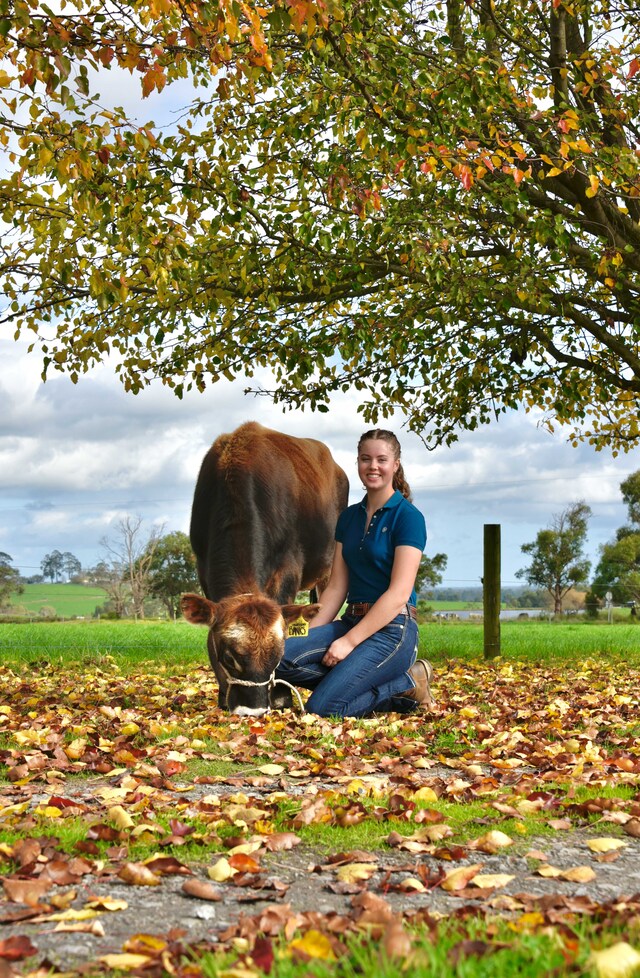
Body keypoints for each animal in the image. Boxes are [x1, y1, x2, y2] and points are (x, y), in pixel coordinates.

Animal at [181, 421, 349, 716]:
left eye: (279, 655)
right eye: (229, 657)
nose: (253, 711)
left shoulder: (289, 568)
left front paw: (281, 697)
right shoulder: (203, 568)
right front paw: (223, 697)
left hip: (328, 569)